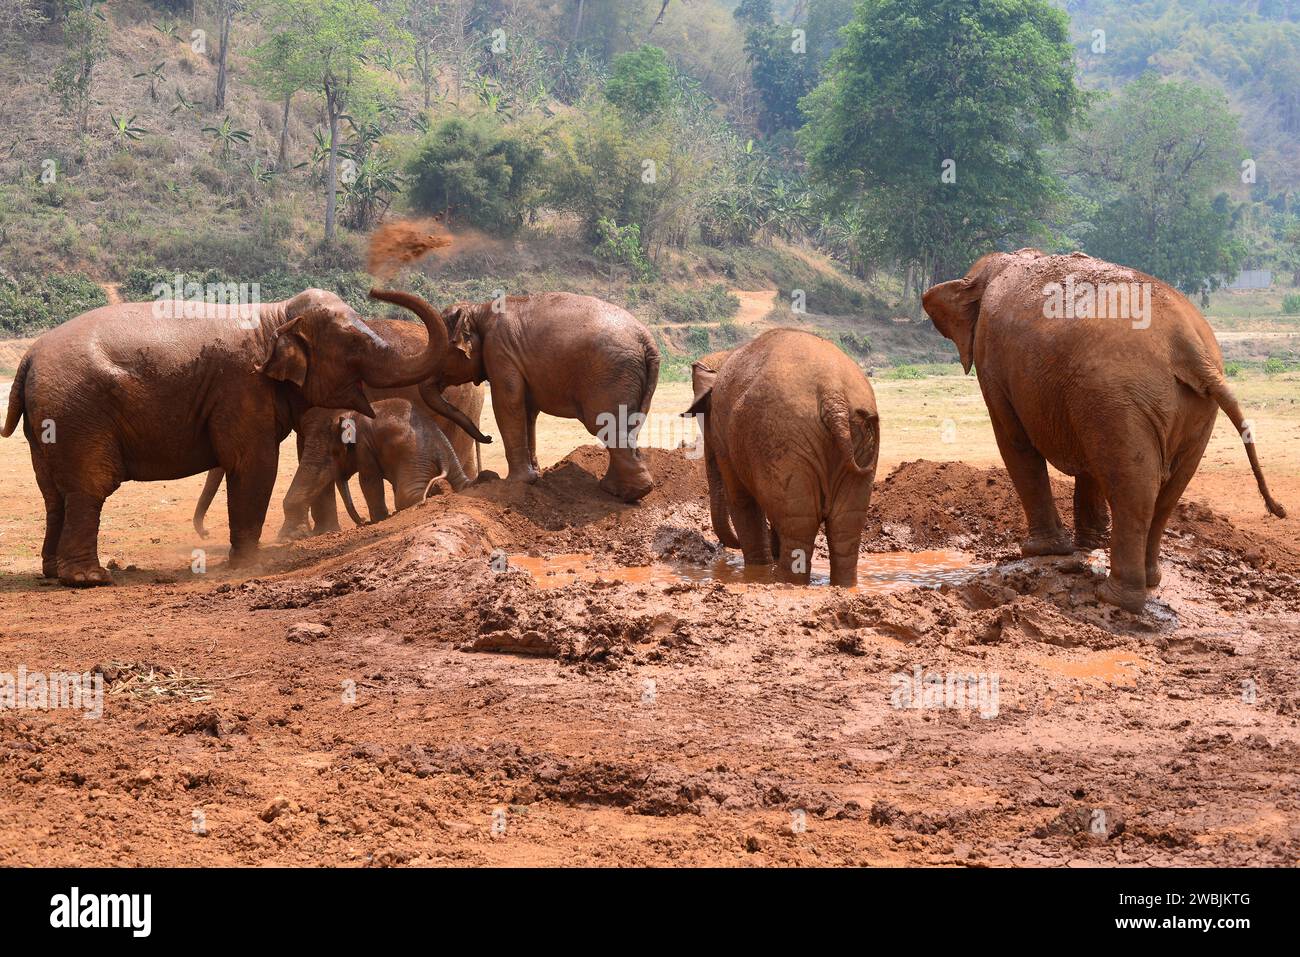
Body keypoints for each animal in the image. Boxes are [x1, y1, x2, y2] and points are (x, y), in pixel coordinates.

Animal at [191, 377, 484, 539]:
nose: (205, 533)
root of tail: (441, 451)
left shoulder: (363, 445)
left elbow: (367, 480)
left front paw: (379, 519)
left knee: (408, 495)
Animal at [374, 290, 661, 502]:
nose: (487, 437)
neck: (481, 309)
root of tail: (648, 341)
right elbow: (527, 410)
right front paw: (536, 475)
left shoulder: (500, 351)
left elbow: (507, 402)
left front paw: (517, 481)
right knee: (628, 426)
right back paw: (617, 489)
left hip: (610, 375)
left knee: (602, 424)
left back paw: (630, 493)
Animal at [685, 329, 880, 586]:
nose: (720, 548)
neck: (726, 354)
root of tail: (834, 397)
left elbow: (741, 500)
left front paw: (759, 570)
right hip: (855, 443)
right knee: (845, 525)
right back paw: (842, 586)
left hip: (784, 437)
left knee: (799, 524)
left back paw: (788, 582)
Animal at [923, 249, 1286, 613]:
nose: (1280, 509)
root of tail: (1190, 348)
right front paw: (1086, 545)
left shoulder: (993, 363)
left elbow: (1015, 442)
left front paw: (1042, 552)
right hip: (1182, 409)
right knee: (1165, 493)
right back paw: (1148, 581)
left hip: (1120, 398)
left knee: (1132, 488)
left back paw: (1114, 598)